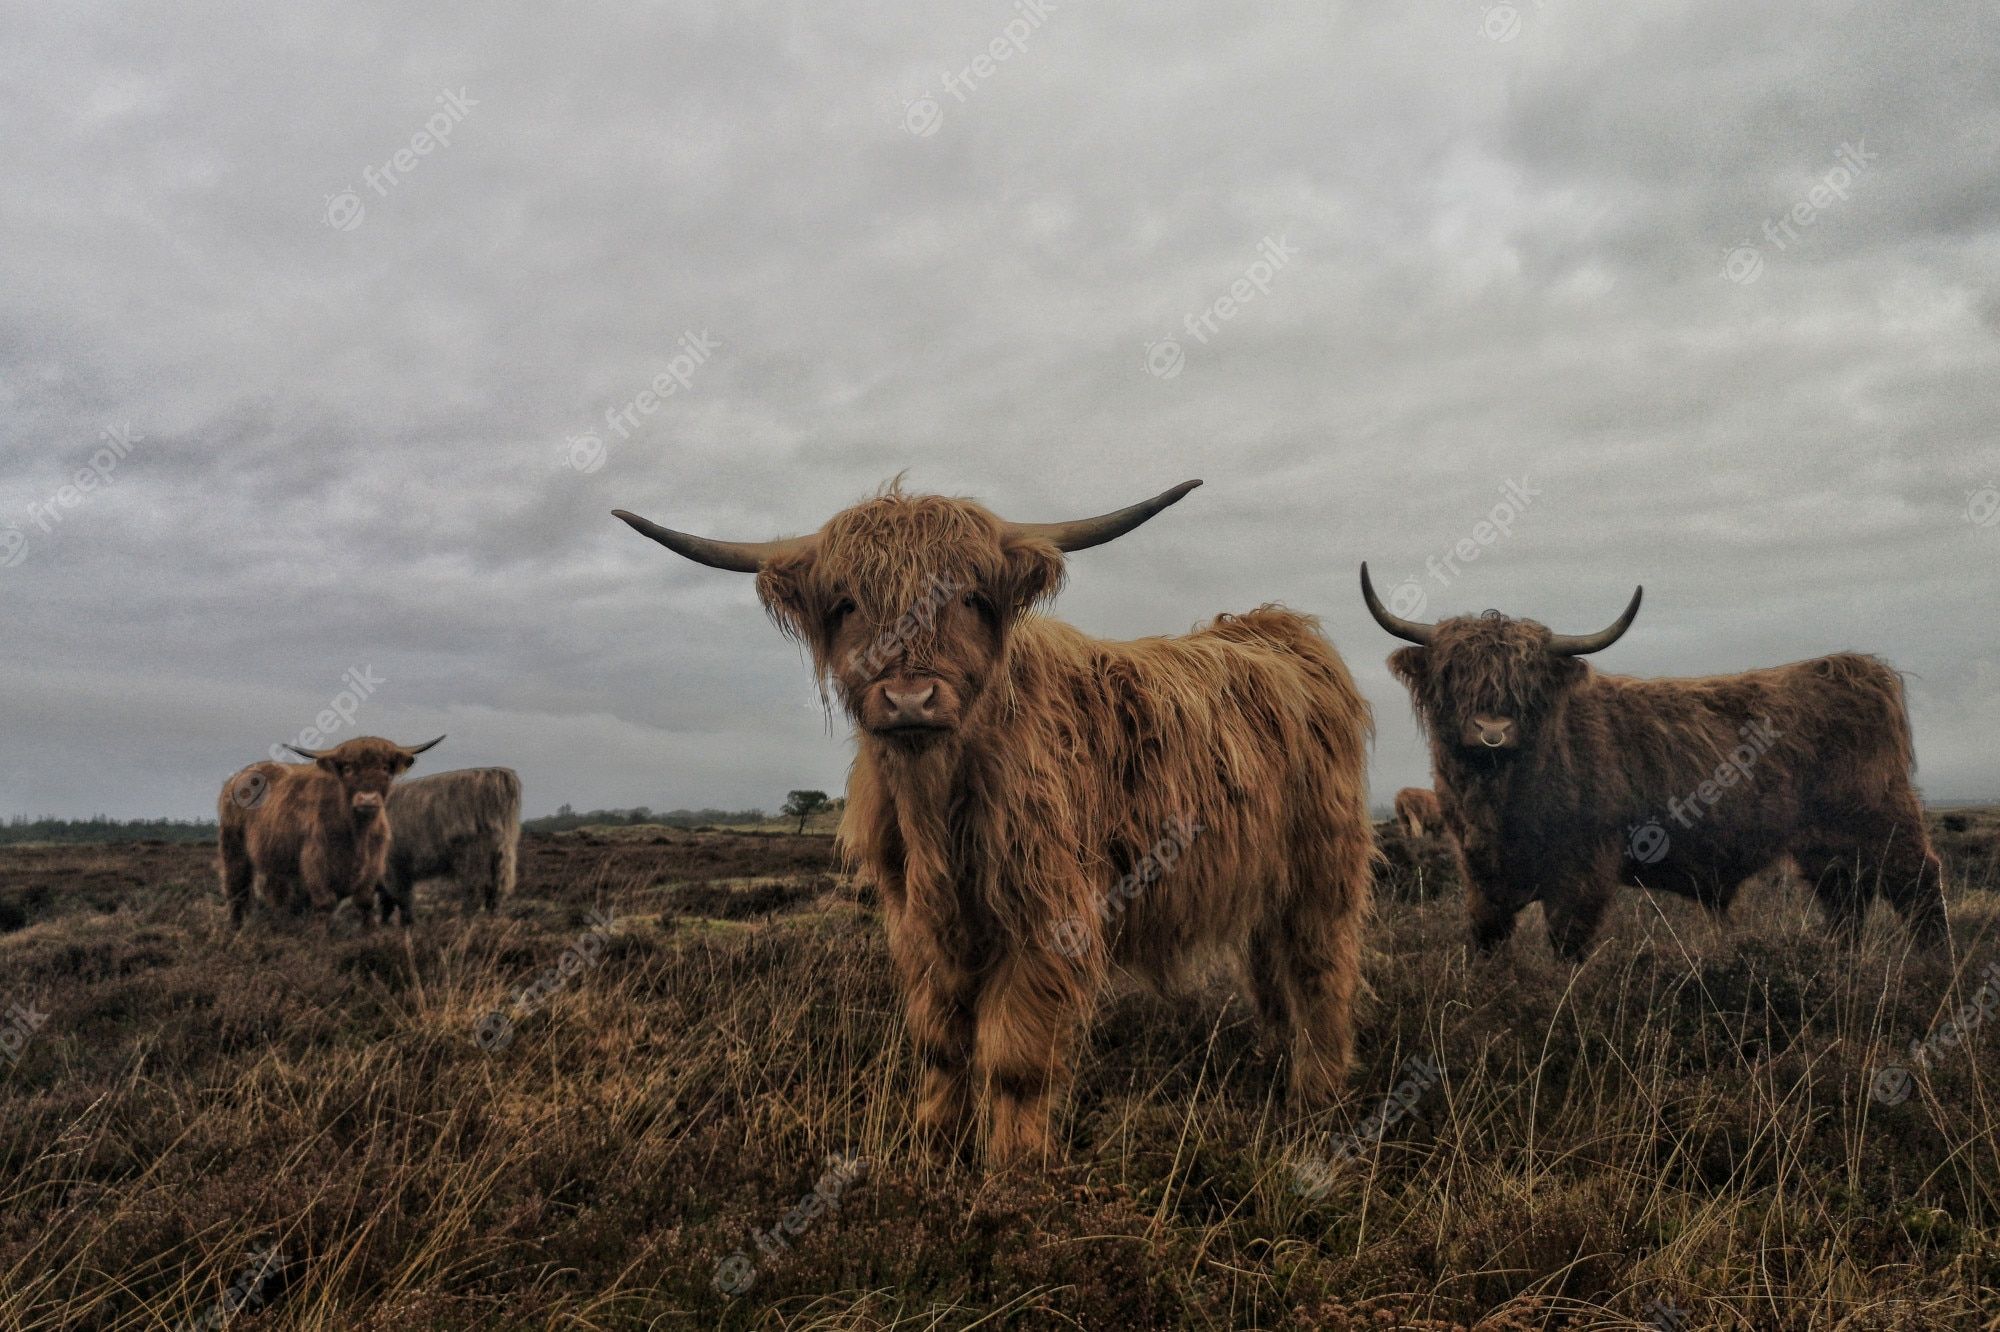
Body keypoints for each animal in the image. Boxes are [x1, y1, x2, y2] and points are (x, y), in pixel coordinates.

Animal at [218, 735, 445, 927]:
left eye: (384, 767)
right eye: (348, 768)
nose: (368, 799)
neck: (356, 833)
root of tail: (240, 776)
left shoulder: (374, 863)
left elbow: (364, 901)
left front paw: (369, 932)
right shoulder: (314, 860)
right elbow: (324, 902)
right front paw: (320, 937)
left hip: (276, 860)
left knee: (277, 894)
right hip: (233, 850)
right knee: (236, 890)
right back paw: (236, 928)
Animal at [373, 767, 523, 924]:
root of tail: (496, 774)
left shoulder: (393, 869)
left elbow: (399, 900)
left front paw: (406, 924)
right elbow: (389, 902)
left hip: (474, 857)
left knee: (477, 888)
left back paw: (469, 919)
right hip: (501, 854)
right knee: (496, 888)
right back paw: (492, 918)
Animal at [615, 481, 1375, 1166]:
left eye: (973, 600)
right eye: (847, 603)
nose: (910, 697)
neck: (937, 810)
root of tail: (1277, 628)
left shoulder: (1049, 914)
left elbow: (1013, 1057)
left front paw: (1011, 1174)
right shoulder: (917, 921)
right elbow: (940, 1042)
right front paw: (934, 1146)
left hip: (1325, 865)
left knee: (1320, 969)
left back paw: (1317, 1097)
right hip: (1268, 883)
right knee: (1271, 968)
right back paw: (1276, 1065)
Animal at [1360, 565, 1947, 958]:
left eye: (1527, 685)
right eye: (1453, 676)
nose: (1492, 732)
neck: (1501, 796)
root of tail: (1855, 668)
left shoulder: (1581, 873)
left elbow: (1567, 945)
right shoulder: (1483, 876)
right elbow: (1487, 941)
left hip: (1885, 823)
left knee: (1917, 885)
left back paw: (1932, 969)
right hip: (1824, 846)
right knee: (1846, 900)